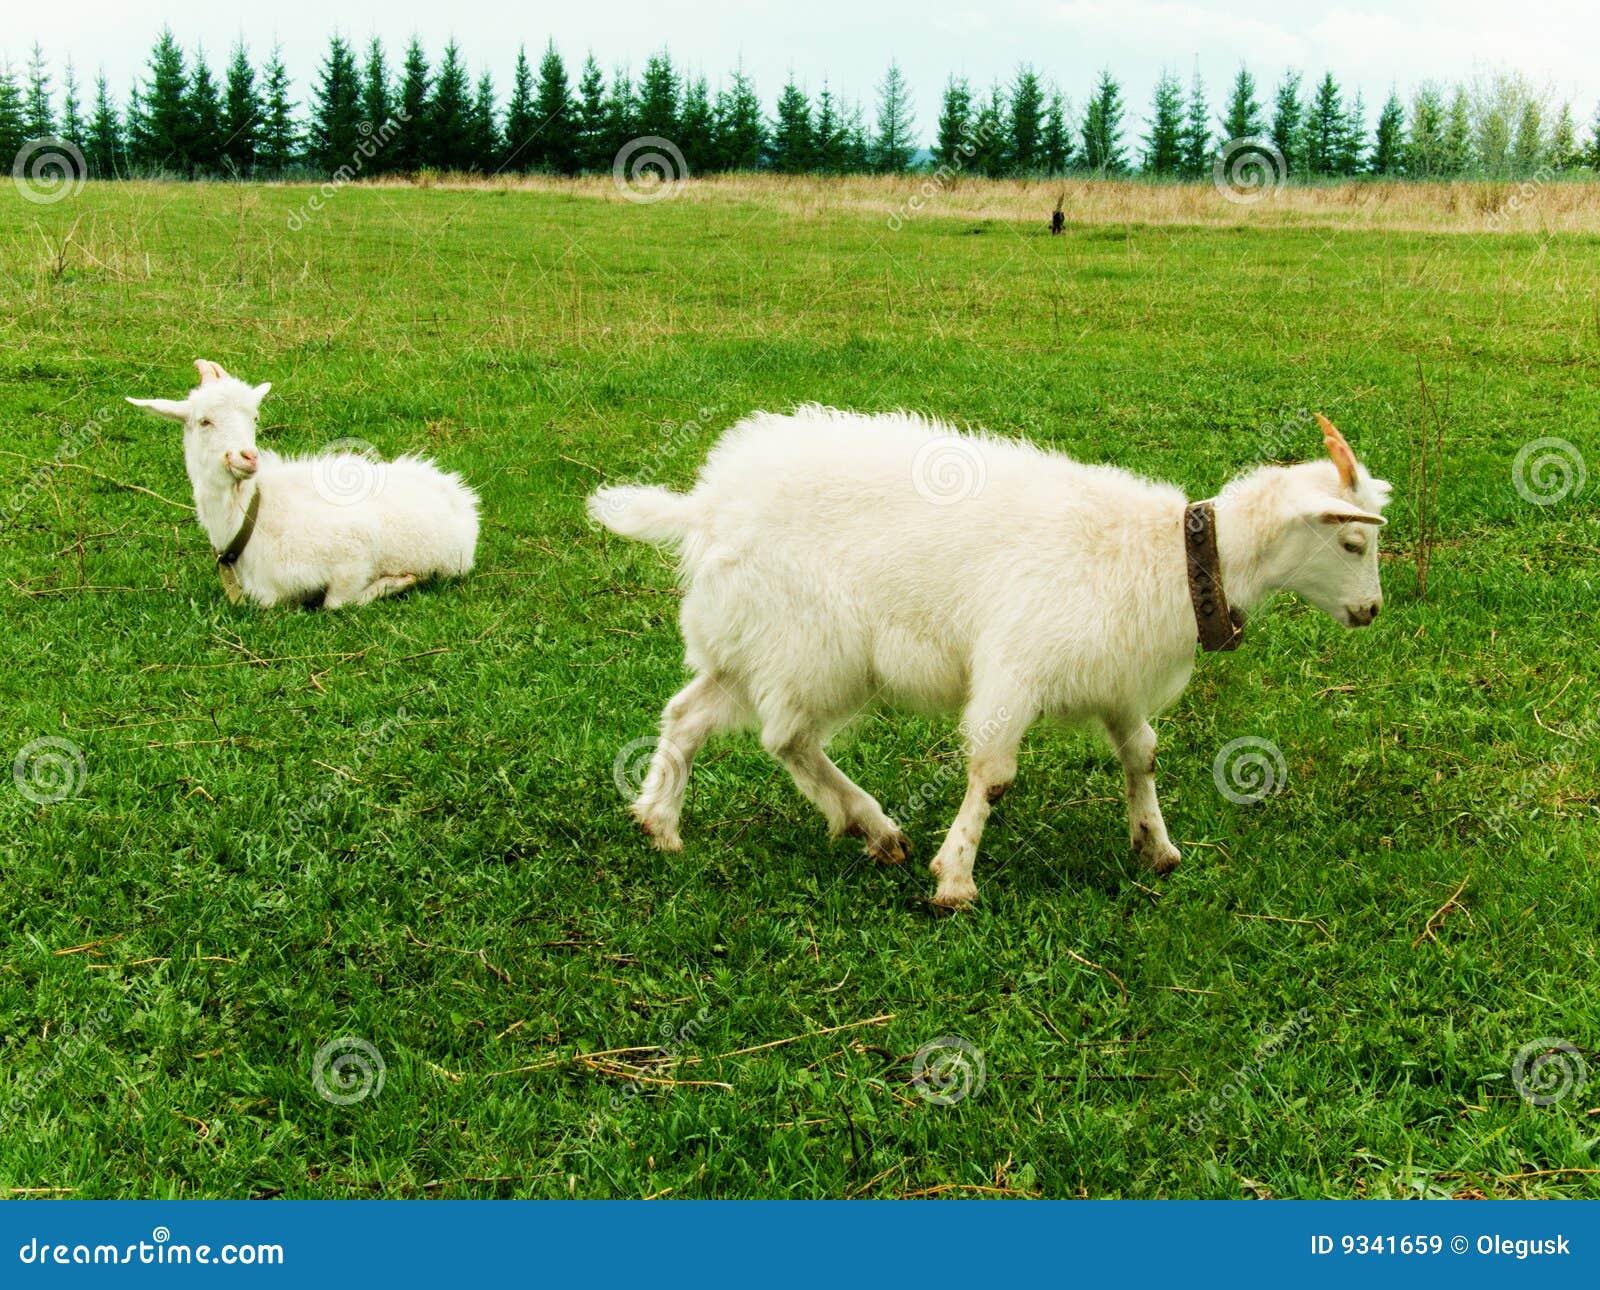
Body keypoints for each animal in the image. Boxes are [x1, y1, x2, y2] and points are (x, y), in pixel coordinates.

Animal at [129, 360, 479, 609]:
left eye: (254, 418)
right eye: (205, 421)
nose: (248, 457)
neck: (252, 515)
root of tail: (458, 493)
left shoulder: (354, 552)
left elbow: (336, 602)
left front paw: (395, 583)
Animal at [590, 405, 1391, 907]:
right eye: (1354, 541)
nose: (1371, 612)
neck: (1161, 553)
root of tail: (705, 506)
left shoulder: (1112, 680)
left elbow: (1142, 754)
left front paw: (1156, 845)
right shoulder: (1017, 667)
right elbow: (995, 775)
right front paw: (955, 879)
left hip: (752, 641)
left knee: (690, 716)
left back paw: (661, 823)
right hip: (816, 646)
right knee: (786, 738)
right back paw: (872, 825)